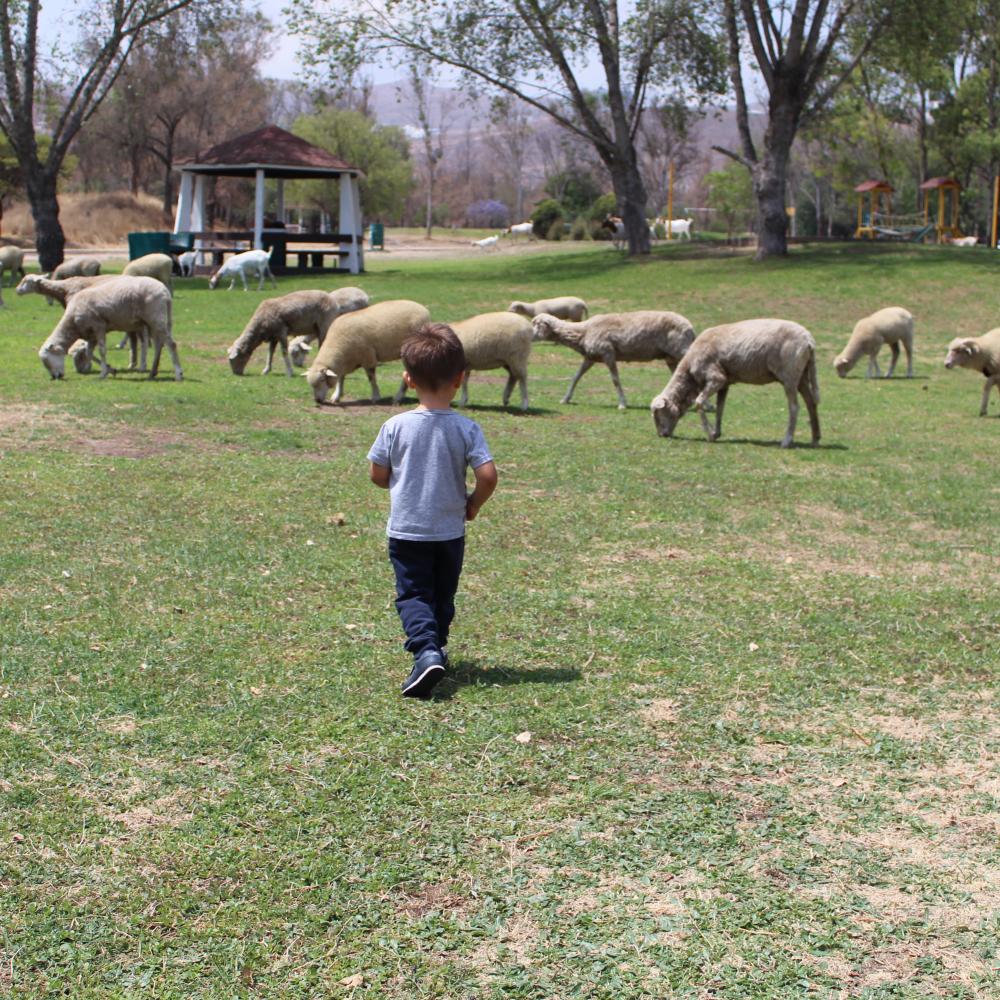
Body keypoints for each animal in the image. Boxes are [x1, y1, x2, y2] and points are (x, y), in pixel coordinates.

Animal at [37, 278, 182, 382]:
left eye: (47, 361)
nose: (56, 377)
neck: (72, 322)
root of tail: (165, 292)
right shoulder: (91, 335)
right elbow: (89, 353)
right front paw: (110, 370)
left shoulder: (99, 326)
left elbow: (102, 350)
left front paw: (102, 374)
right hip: (154, 321)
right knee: (159, 345)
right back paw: (152, 372)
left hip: (155, 317)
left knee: (171, 344)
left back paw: (178, 374)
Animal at [229, 288, 370, 376]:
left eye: (233, 359)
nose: (236, 374)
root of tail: (333, 301)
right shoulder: (273, 336)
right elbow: (270, 353)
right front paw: (266, 370)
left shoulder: (281, 331)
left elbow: (283, 352)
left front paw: (290, 372)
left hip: (324, 324)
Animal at [532, 310, 696, 408]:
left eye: (537, 324)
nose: (530, 335)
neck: (583, 331)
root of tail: (690, 327)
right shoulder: (591, 357)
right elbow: (576, 377)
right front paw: (565, 399)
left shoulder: (608, 353)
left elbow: (615, 380)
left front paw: (622, 404)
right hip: (670, 357)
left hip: (681, 350)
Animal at [648, 318, 820, 448]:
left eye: (657, 414)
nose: (662, 435)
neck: (689, 371)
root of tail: (809, 340)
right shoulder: (725, 384)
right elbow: (720, 409)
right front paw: (716, 433)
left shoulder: (716, 378)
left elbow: (699, 402)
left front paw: (710, 435)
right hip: (802, 375)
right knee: (811, 402)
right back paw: (815, 438)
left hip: (789, 376)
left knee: (795, 407)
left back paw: (786, 441)